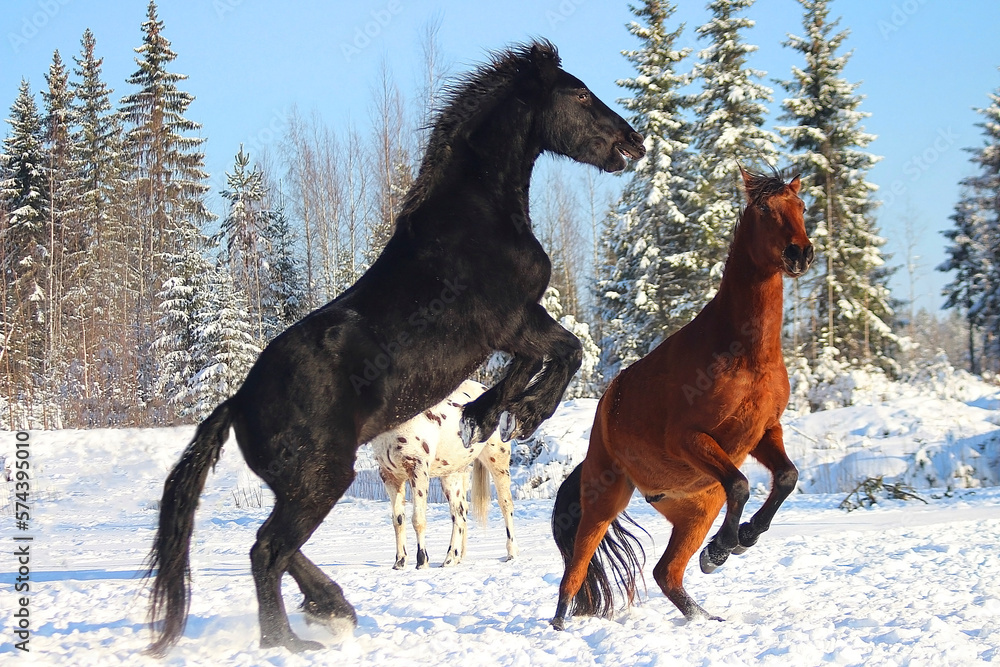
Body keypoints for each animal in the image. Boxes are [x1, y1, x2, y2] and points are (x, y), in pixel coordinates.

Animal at [371, 379, 518, 570]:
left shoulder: (418, 471)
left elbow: (418, 520)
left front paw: (422, 561)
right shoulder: (390, 476)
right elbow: (398, 520)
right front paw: (400, 562)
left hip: (497, 463)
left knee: (505, 505)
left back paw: (511, 554)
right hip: (453, 474)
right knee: (459, 513)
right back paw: (452, 558)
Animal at [549, 168, 812, 630]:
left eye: (801, 206)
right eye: (764, 208)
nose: (799, 253)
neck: (747, 353)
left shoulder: (764, 431)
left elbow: (786, 477)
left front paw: (741, 539)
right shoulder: (688, 438)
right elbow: (741, 484)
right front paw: (723, 549)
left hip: (696, 508)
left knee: (666, 573)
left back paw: (707, 616)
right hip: (603, 502)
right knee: (574, 574)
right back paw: (561, 626)